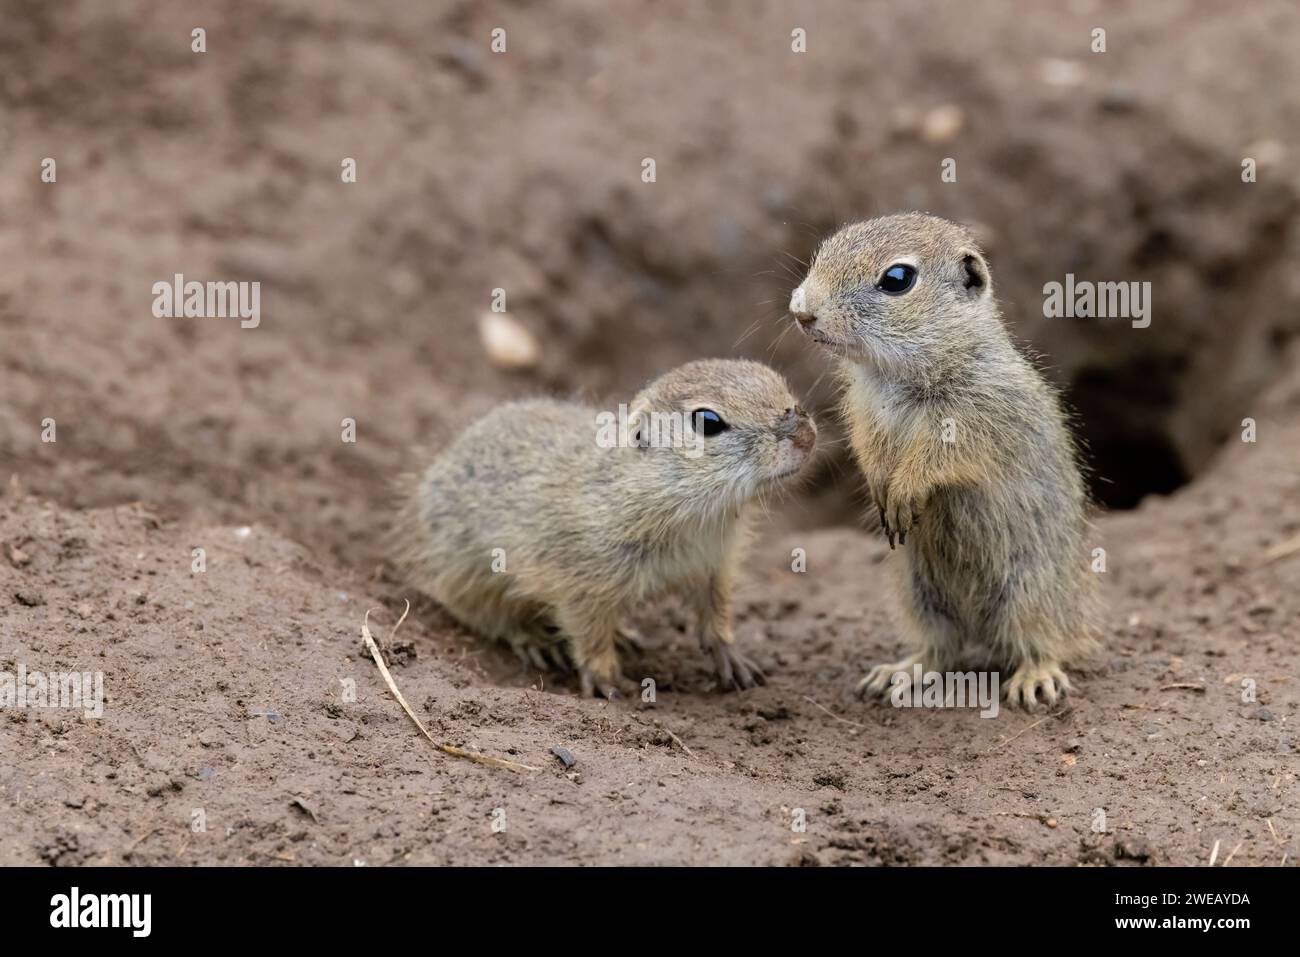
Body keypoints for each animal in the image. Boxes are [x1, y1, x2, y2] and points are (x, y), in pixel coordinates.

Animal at [393, 359, 816, 698]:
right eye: (708, 422)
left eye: (778, 380)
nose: (806, 436)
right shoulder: (582, 582)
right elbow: (588, 632)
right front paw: (606, 680)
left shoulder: (714, 566)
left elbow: (715, 614)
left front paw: (732, 659)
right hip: (466, 574)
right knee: (485, 614)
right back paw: (536, 639)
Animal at [789, 212, 1098, 709]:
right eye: (827, 247)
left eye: (898, 279)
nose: (802, 311)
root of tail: (982, 633)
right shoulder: (863, 413)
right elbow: (870, 450)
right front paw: (881, 489)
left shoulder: (972, 419)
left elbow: (935, 459)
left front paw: (903, 492)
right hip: (921, 594)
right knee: (942, 649)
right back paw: (900, 672)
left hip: (1028, 590)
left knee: (1040, 642)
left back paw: (1035, 677)